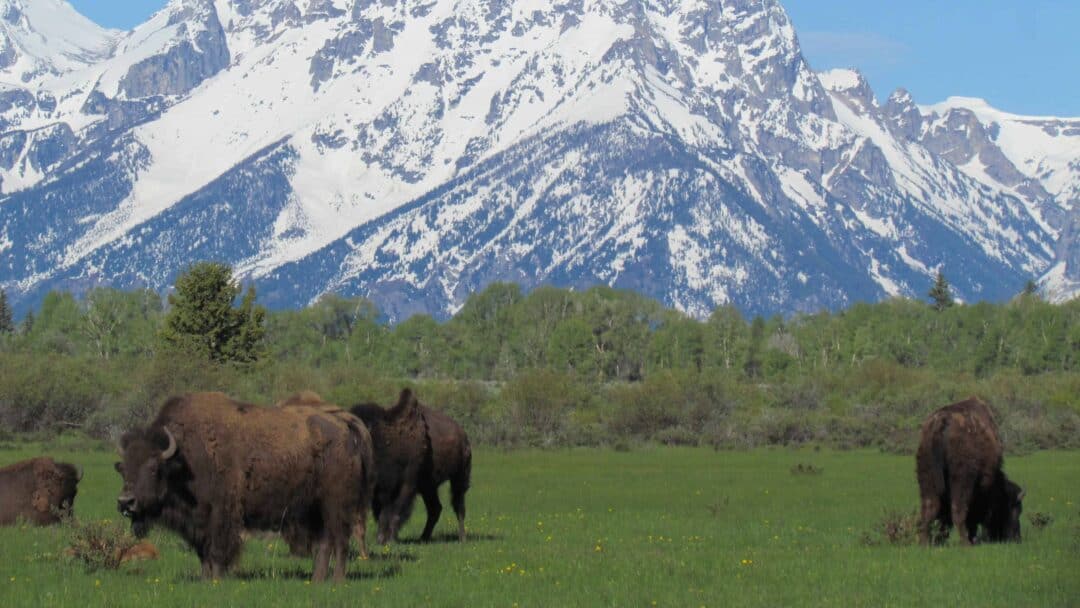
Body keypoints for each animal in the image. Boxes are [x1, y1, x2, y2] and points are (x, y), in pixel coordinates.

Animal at [116, 392, 373, 582]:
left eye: (153, 468)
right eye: (124, 469)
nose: (125, 501)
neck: (184, 456)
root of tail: (344, 424)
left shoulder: (221, 514)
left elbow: (217, 550)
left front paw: (217, 580)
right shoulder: (199, 521)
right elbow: (203, 552)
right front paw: (205, 579)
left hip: (337, 506)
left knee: (340, 541)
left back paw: (337, 581)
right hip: (315, 509)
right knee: (324, 543)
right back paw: (317, 581)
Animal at [351, 389, 471, 544]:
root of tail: (464, 436)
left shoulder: (407, 484)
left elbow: (395, 512)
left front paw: (390, 539)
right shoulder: (381, 489)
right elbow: (382, 513)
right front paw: (382, 539)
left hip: (459, 477)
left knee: (458, 505)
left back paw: (462, 538)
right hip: (428, 487)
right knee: (435, 508)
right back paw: (423, 538)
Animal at [916, 397, 1024, 545]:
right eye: (1016, 509)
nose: (1016, 538)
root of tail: (943, 421)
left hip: (927, 477)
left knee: (929, 508)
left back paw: (925, 543)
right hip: (962, 480)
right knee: (958, 510)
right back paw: (966, 543)